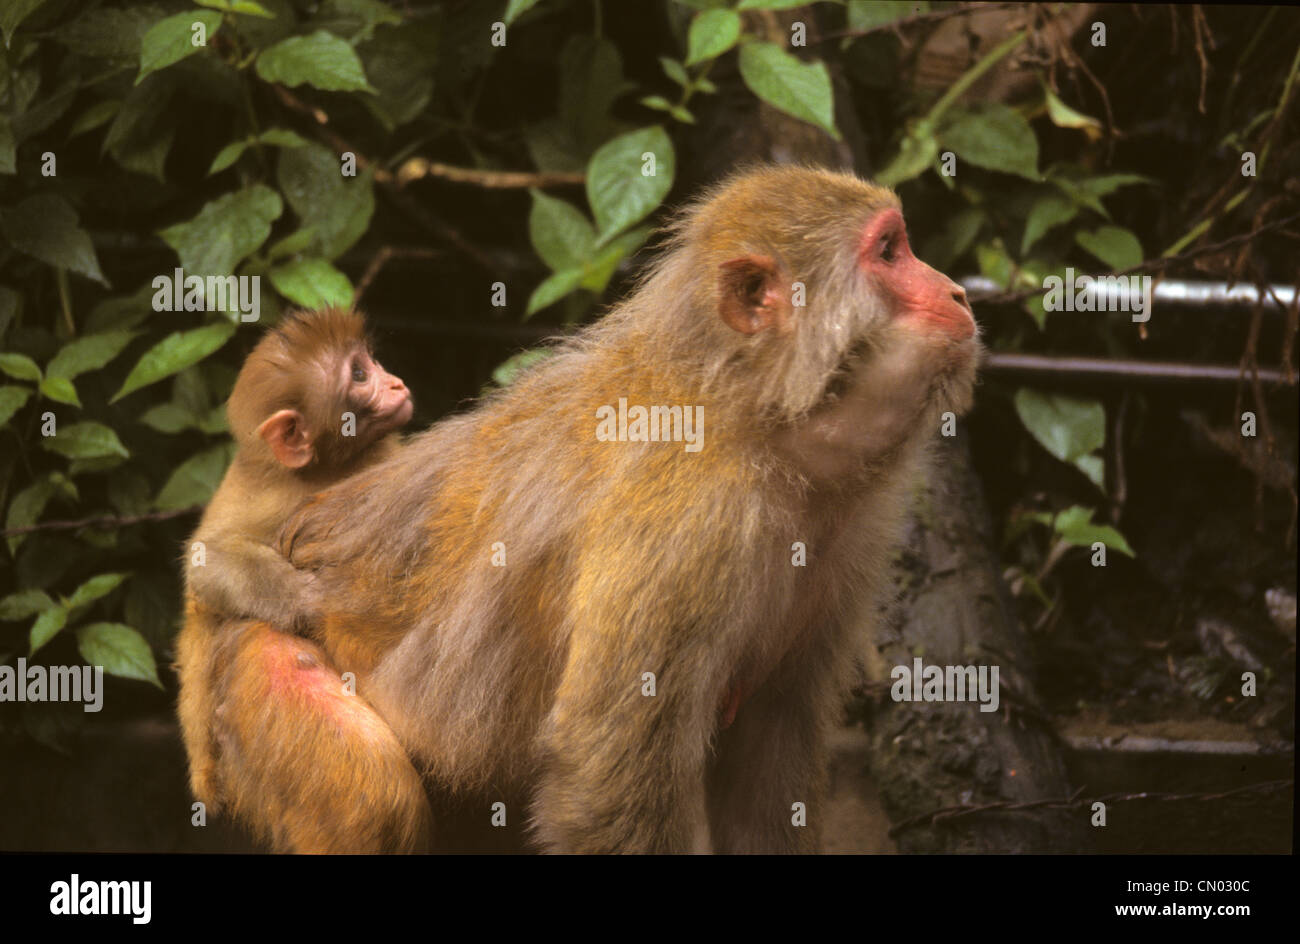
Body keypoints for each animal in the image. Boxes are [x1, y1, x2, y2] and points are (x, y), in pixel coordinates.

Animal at [173, 307, 429, 852]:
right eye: (359, 375)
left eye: (369, 361)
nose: (396, 383)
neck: (323, 468)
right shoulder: (274, 497)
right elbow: (208, 565)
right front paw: (304, 600)